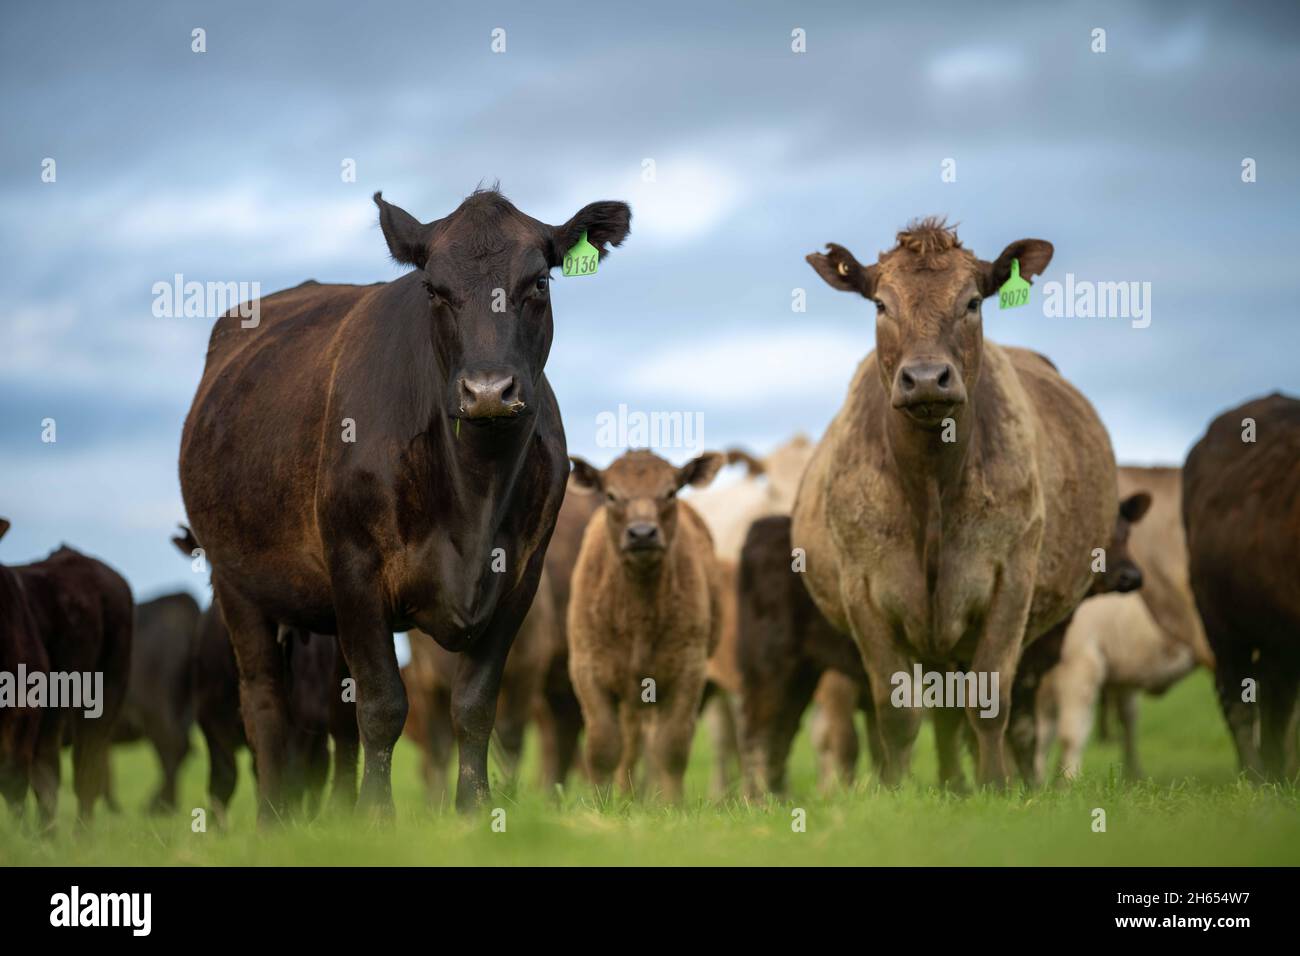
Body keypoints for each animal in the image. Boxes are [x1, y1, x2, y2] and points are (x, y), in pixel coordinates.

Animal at [402, 568, 556, 803]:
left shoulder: (528, 669)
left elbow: (509, 739)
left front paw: (508, 792)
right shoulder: (426, 679)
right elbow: (439, 746)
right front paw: (438, 804)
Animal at [566, 449, 725, 801]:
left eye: (670, 492)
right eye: (611, 495)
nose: (641, 533)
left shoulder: (688, 670)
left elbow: (671, 746)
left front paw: (673, 804)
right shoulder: (587, 668)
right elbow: (603, 745)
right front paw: (598, 804)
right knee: (630, 742)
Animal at [793, 219, 1118, 789]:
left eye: (972, 302)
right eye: (881, 304)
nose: (926, 378)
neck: (929, 486)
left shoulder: (1011, 578)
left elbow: (990, 700)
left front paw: (997, 788)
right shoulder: (863, 588)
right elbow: (897, 711)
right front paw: (896, 792)